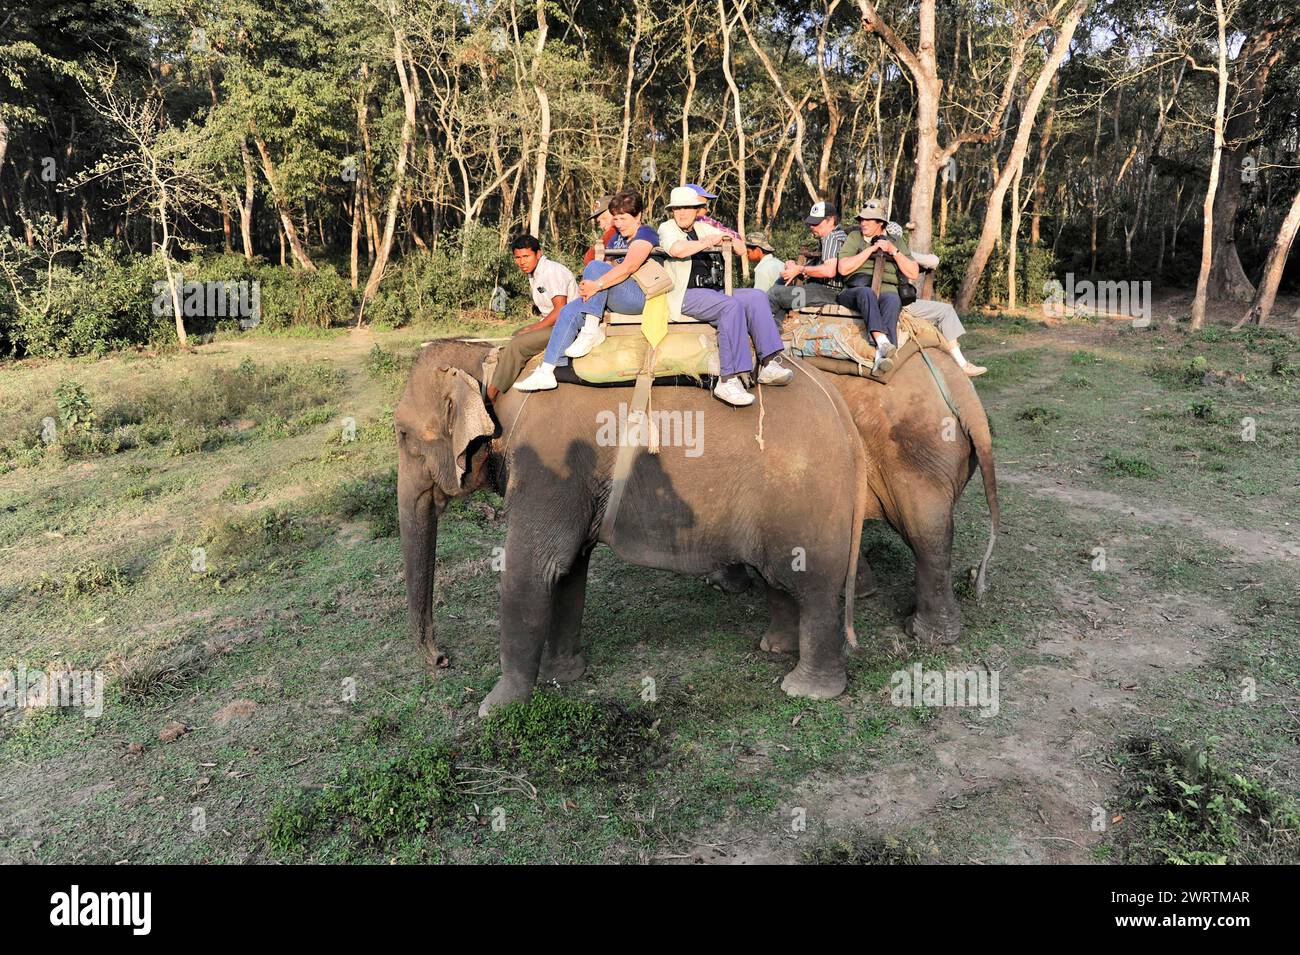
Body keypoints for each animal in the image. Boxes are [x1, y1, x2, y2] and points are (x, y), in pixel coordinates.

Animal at [394, 338, 871, 717]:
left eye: (402, 435)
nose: (441, 660)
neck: (490, 362)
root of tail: (846, 418)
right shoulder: (573, 479)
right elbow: (569, 570)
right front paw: (561, 676)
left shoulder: (548, 463)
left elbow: (532, 569)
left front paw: (494, 709)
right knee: (778, 575)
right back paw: (775, 647)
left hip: (810, 500)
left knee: (814, 586)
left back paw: (806, 691)